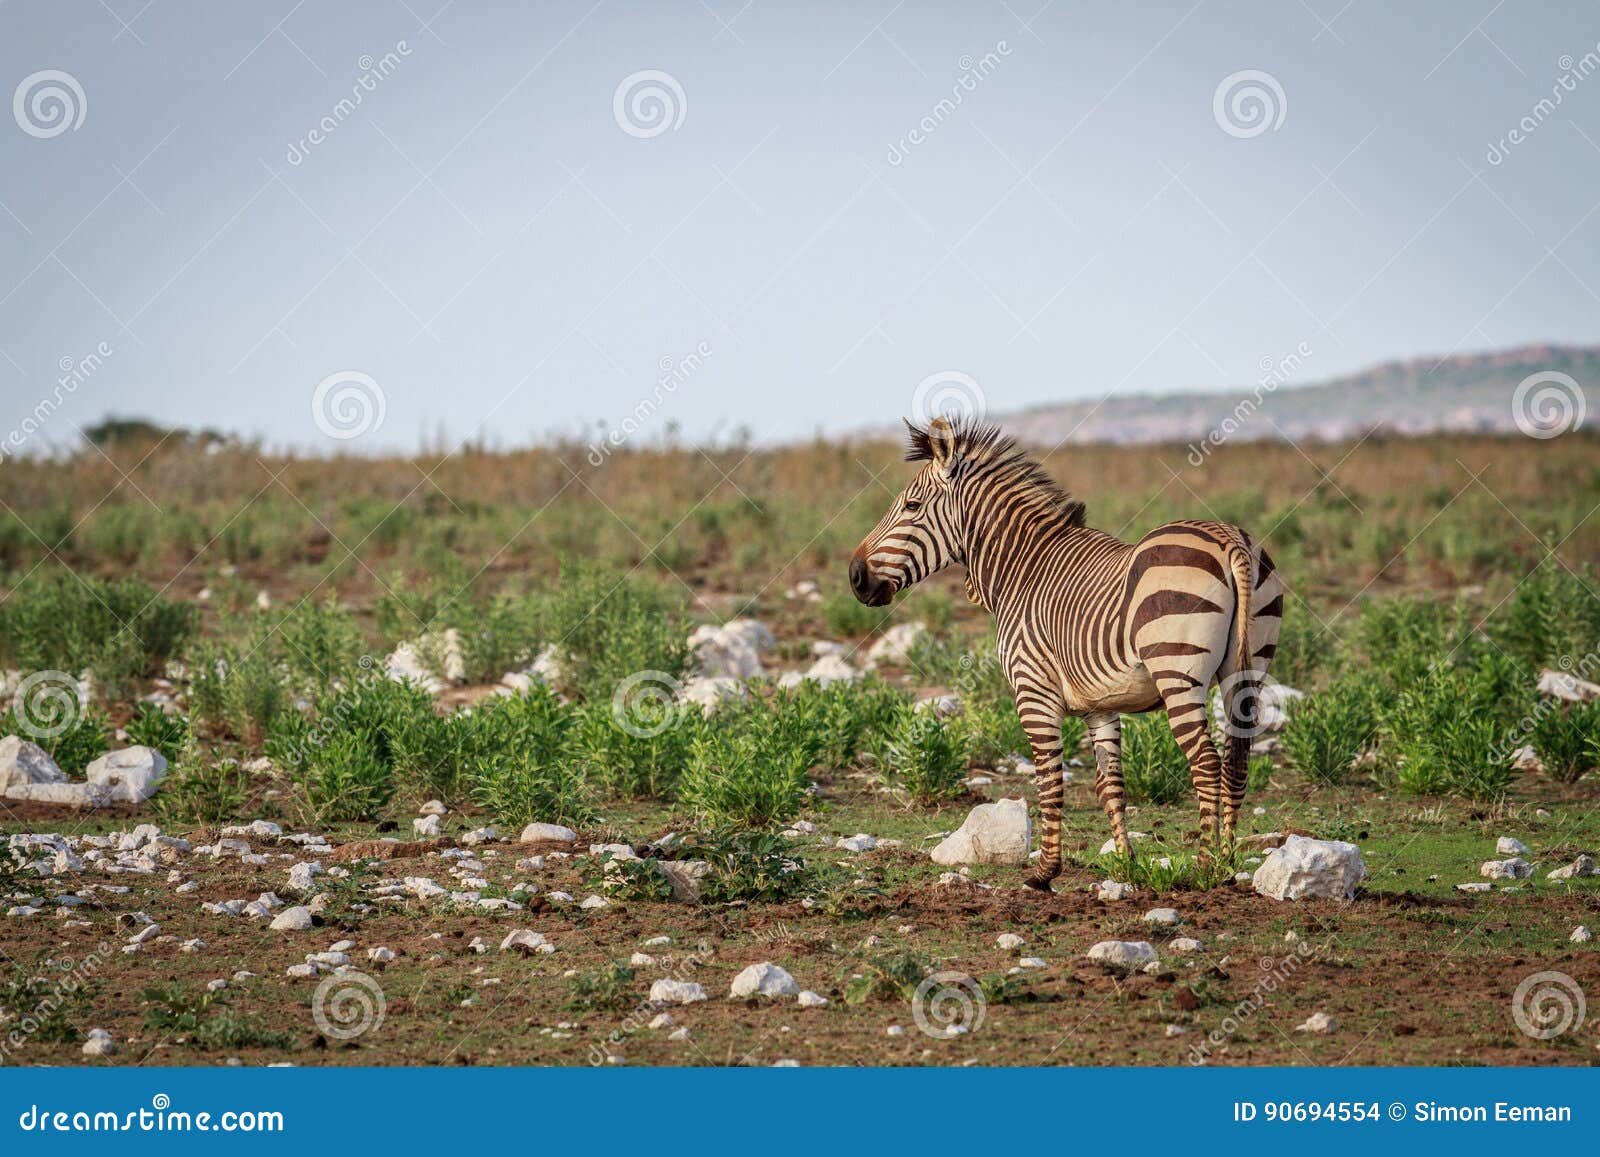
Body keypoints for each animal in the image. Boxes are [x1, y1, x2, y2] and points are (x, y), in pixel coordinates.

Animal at [848, 416, 1283, 890]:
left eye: (911, 506)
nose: (855, 576)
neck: (1020, 569)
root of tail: (1230, 539)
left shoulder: (1032, 690)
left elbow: (1049, 780)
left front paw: (1044, 873)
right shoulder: (1101, 704)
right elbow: (1111, 786)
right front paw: (1126, 864)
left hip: (1177, 673)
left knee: (1206, 762)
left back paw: (1205, 868)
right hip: (1248, 670)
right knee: (1236, 761)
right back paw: (1227, 865)